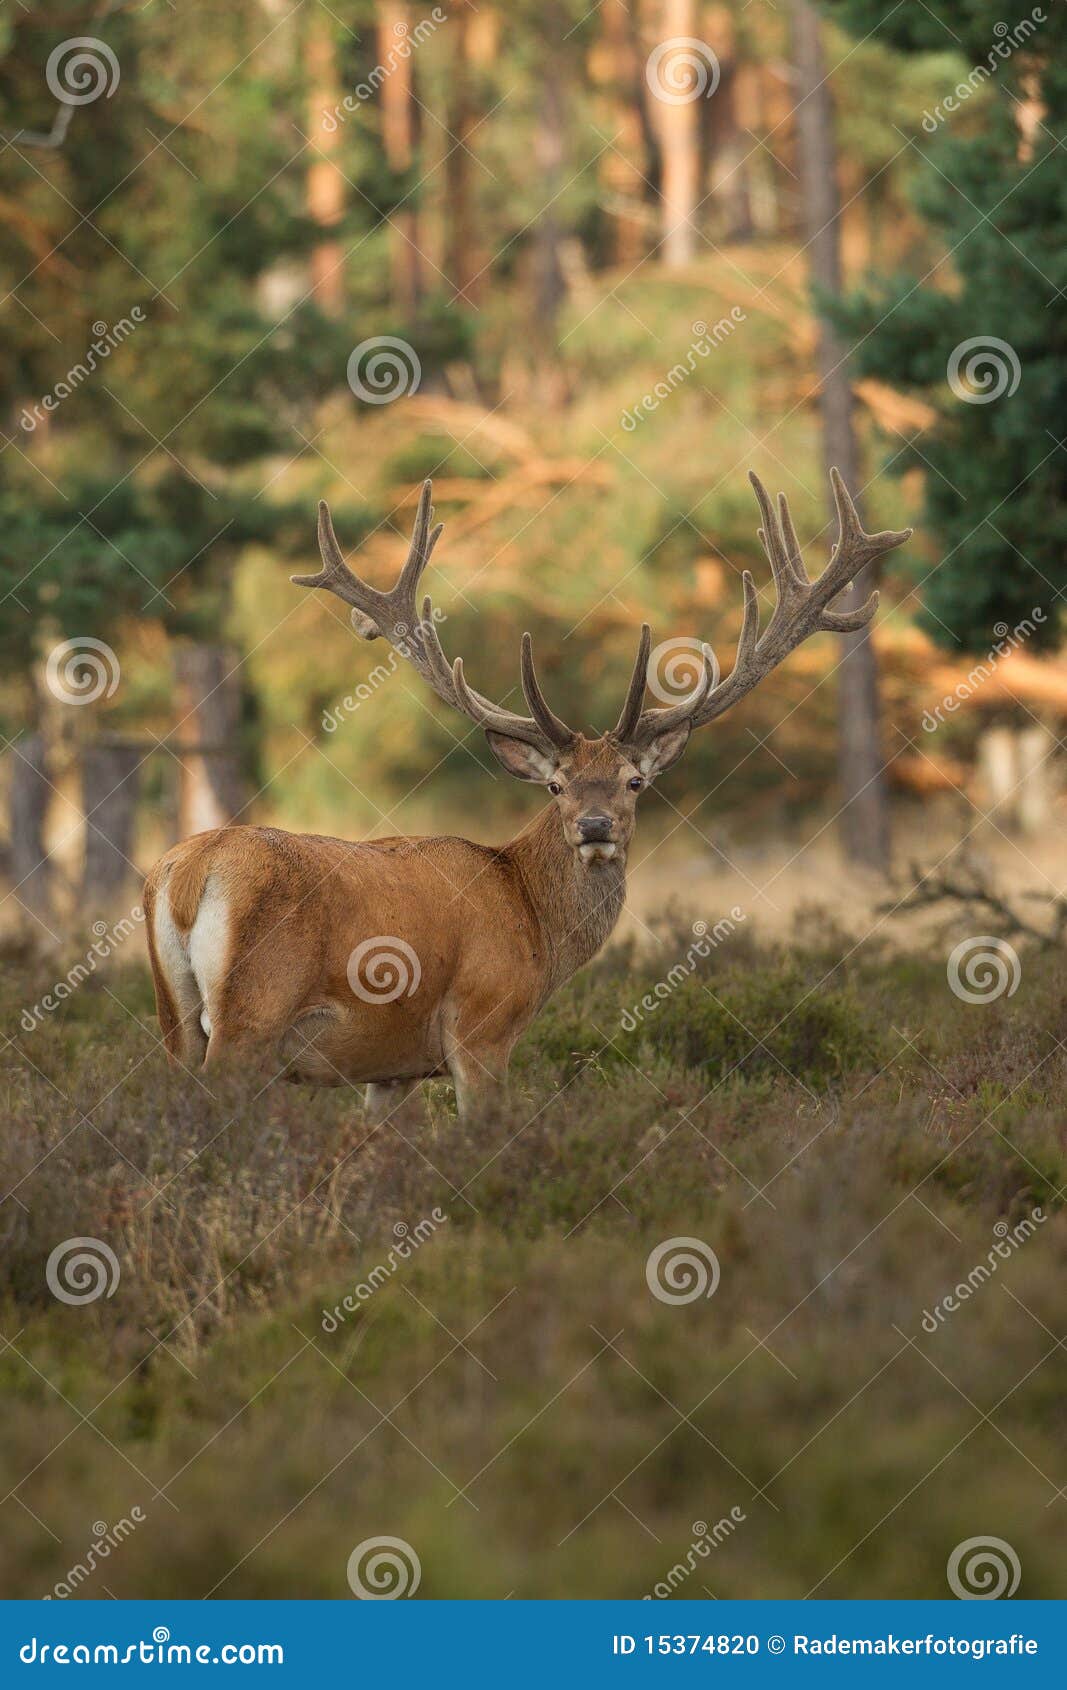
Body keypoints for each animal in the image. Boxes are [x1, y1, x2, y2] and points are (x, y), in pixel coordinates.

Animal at [144, 471, 909, 1120]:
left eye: (634, 782)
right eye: (555, 784)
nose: (595, 826)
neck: (533, 923)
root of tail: (186, 874)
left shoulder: (390, 1067)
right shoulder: (483, 1025)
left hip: (173, 1016)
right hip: (252, 1010)